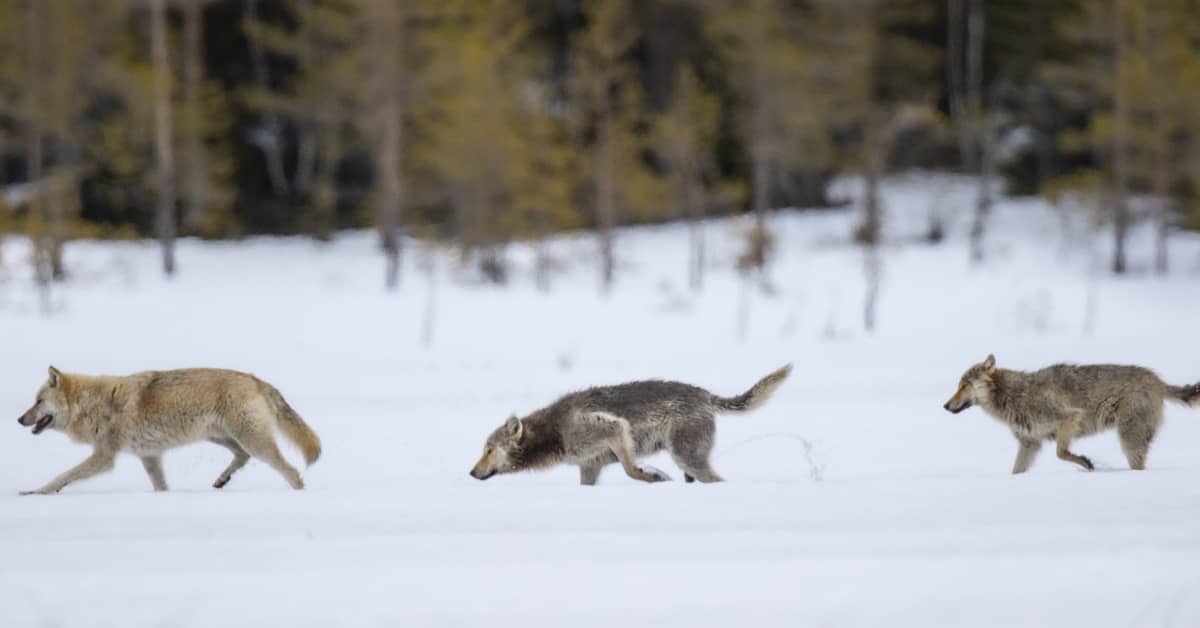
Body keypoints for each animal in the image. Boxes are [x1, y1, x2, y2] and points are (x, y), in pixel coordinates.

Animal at [16, 366, 321, 495]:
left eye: (38, 401)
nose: (19, 419)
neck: (95, 404)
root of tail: (258, 380)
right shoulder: (149, 456)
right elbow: (160, 486)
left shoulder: (104, 457)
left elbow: (63, 475)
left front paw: (37, 492)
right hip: (222, 437)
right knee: (242, 457)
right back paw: (221, 481)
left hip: (252, 441)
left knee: (292, 471)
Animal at [469, 364, 792, 485]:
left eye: (488, 449)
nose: (471, 473)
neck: (554, 432)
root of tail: (704, 394)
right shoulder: (589, 466)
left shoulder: (614, 428)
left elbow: (630, 469)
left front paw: (652, 475)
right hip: (689, 462)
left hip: (687, 457)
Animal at [943, 354, 1200, 473]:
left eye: (964, 385)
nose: (945, 406)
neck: (1014, 394)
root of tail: (1159, 381)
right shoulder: (1030, 443)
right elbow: (1016, 471)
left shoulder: (1069, 418)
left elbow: (1061, 453)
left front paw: (1086, 463)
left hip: (1128, 439)